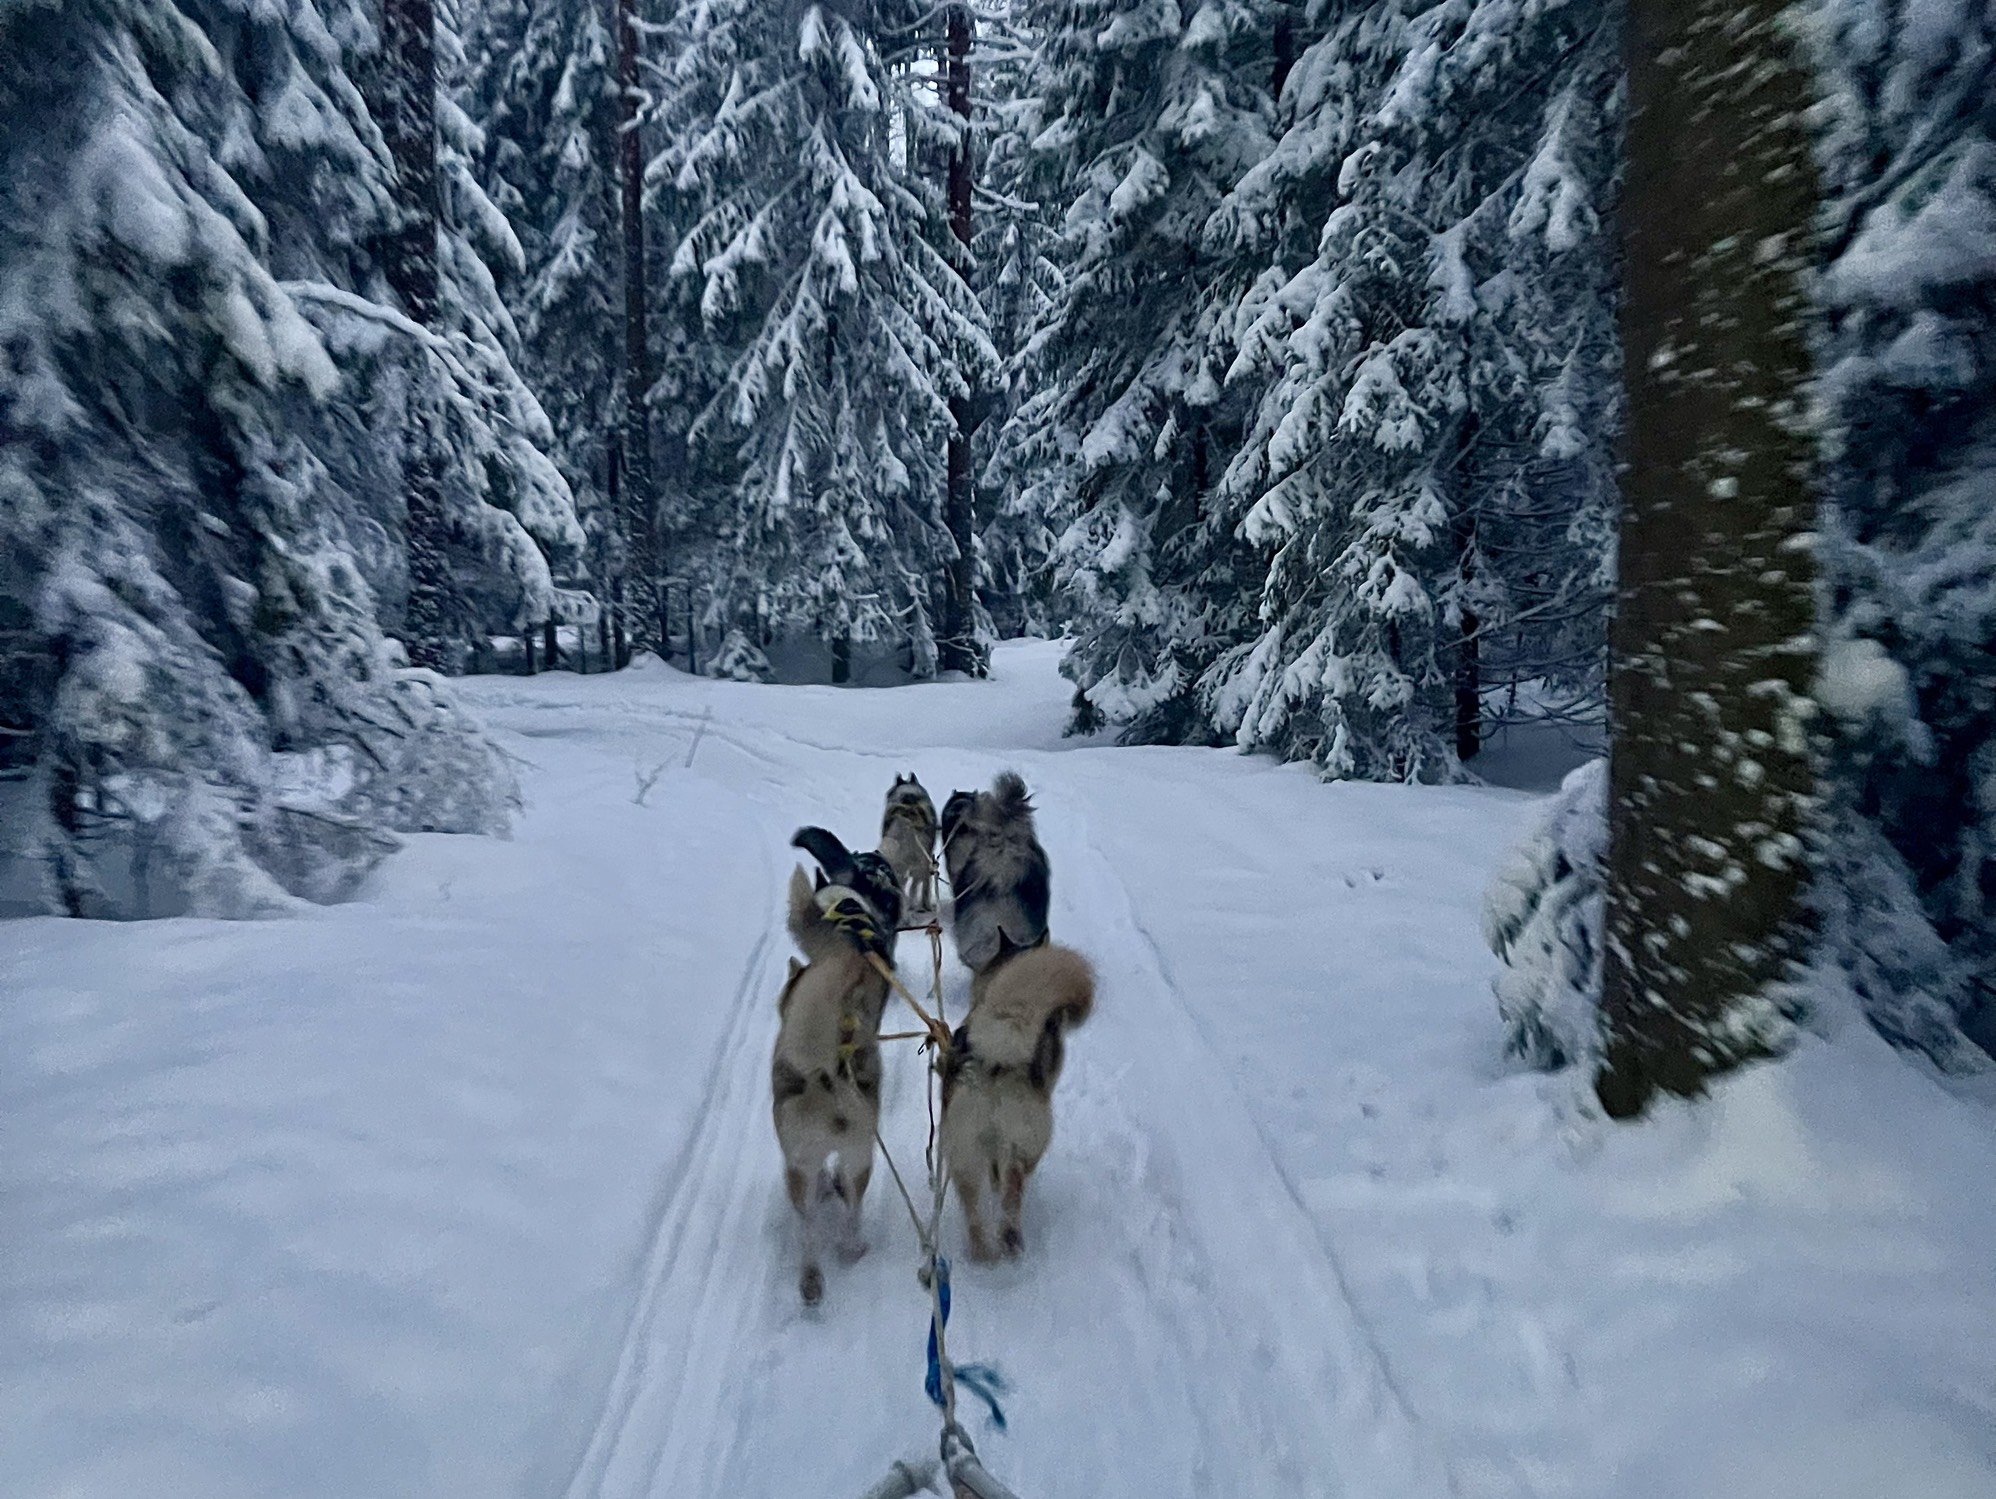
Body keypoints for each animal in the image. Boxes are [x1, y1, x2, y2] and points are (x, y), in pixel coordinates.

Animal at [774, 822, 910, 1301]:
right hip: (860, 1160)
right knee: (850, 1209)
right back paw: (852, 1248)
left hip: (802, 1168)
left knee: (809, 1225)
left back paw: (812, 1278)